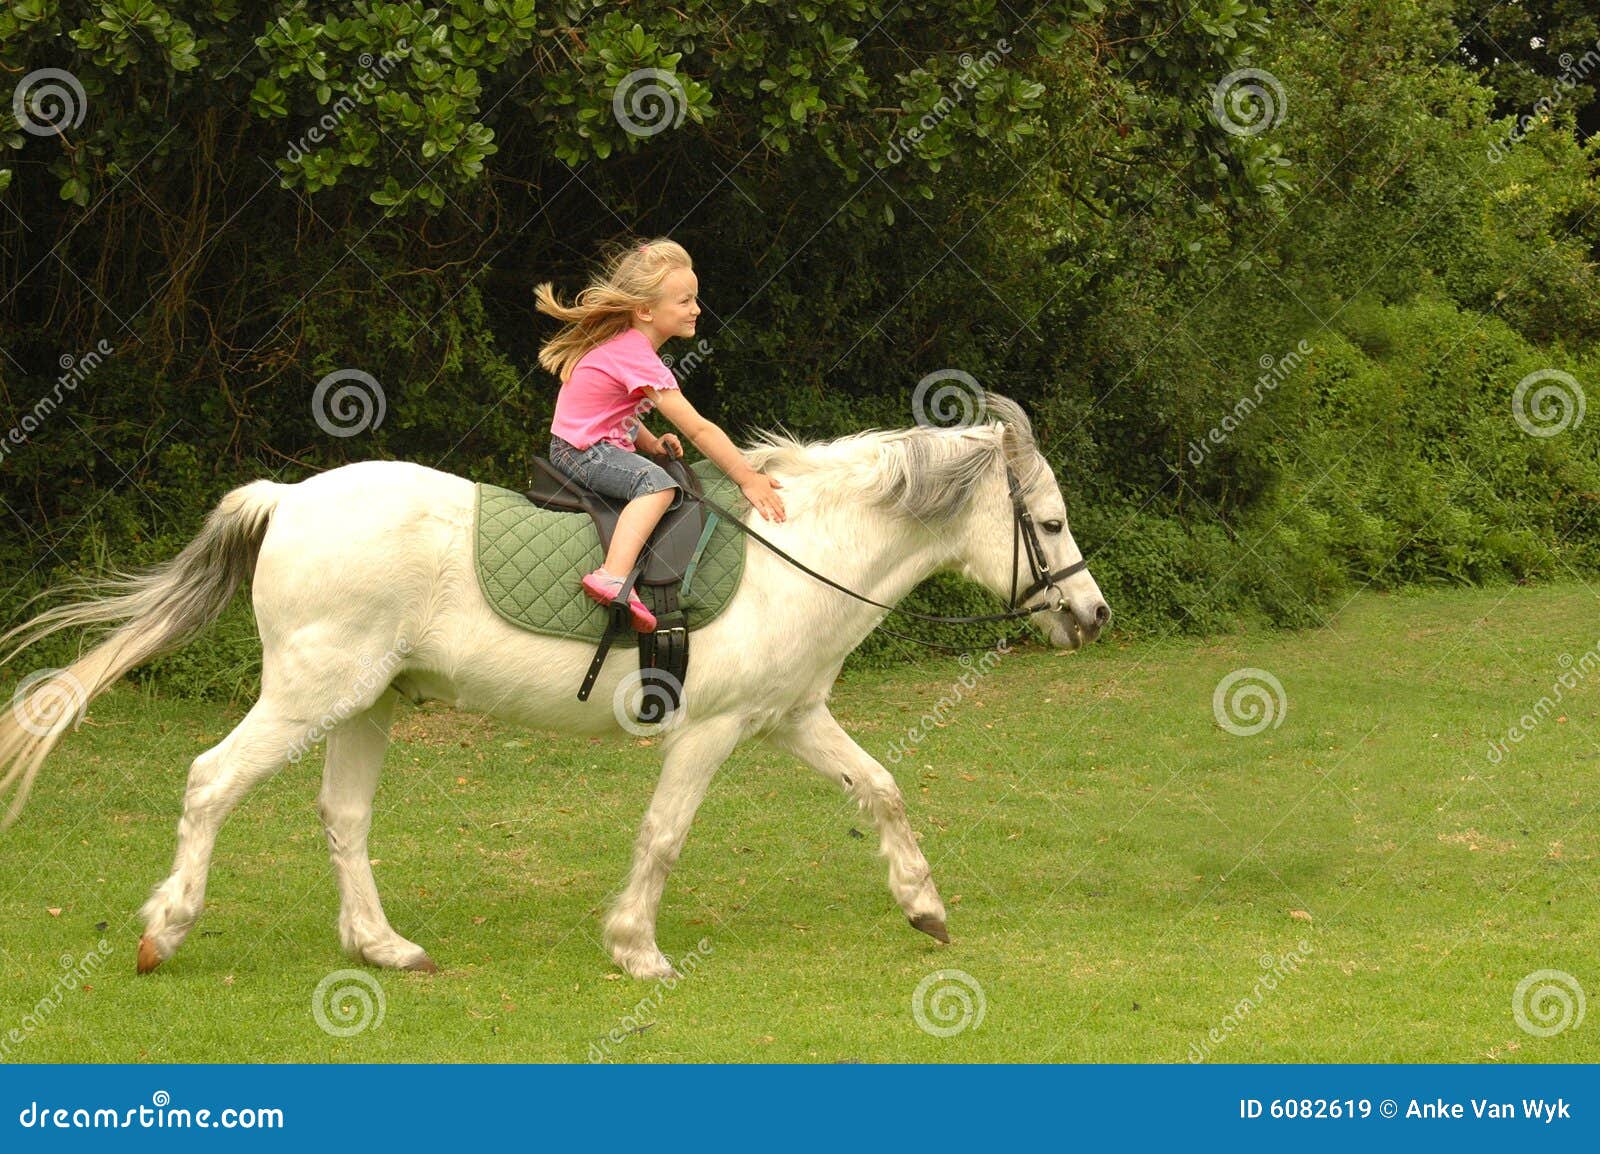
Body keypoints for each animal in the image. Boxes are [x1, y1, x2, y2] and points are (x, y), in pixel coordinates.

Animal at [0, 393, 1108, 979]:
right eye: (1050, 524)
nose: (1093, 616)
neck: (800, 547)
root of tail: (288, 499)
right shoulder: (709, 729)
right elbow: (664, 835)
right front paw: (637, 949)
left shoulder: (790, 717)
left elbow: (880, 788)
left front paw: (923, 907)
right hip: (307, 699)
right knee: (211, 780)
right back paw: (165, 928)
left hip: (366, 705)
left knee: (343, 818)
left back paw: (384, 946)